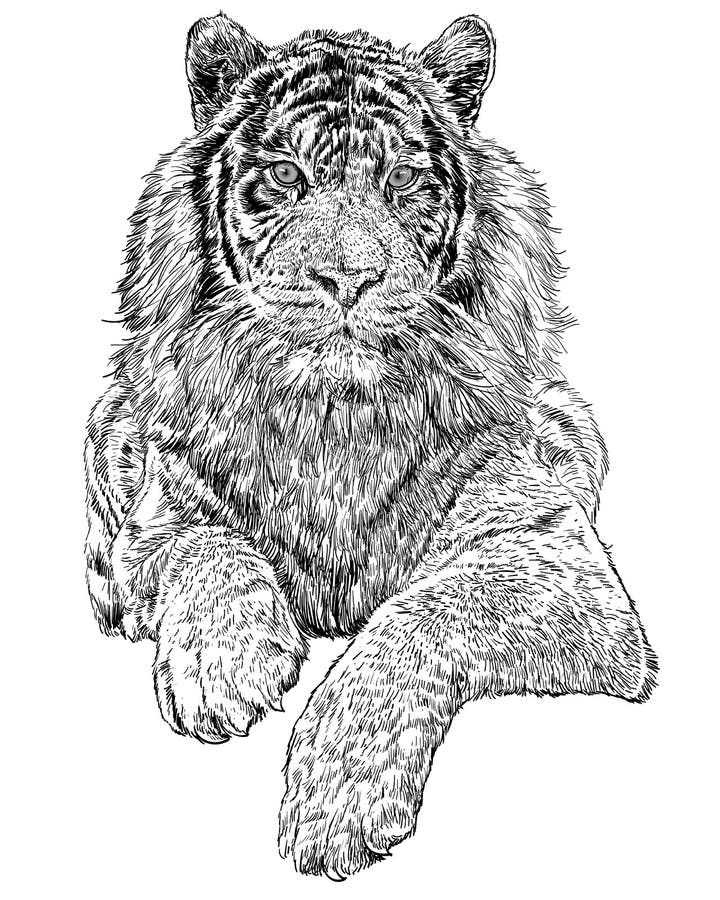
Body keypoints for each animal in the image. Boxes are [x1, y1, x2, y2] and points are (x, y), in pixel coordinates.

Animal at [85, 13, 657, 878]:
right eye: (285, 177)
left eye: (402, 181)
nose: (347, 279)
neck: (335, 422)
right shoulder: (166, 512)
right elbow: (209, 552)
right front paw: (223, 671)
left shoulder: (548, 551)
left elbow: (423, 615)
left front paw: (335, 805)